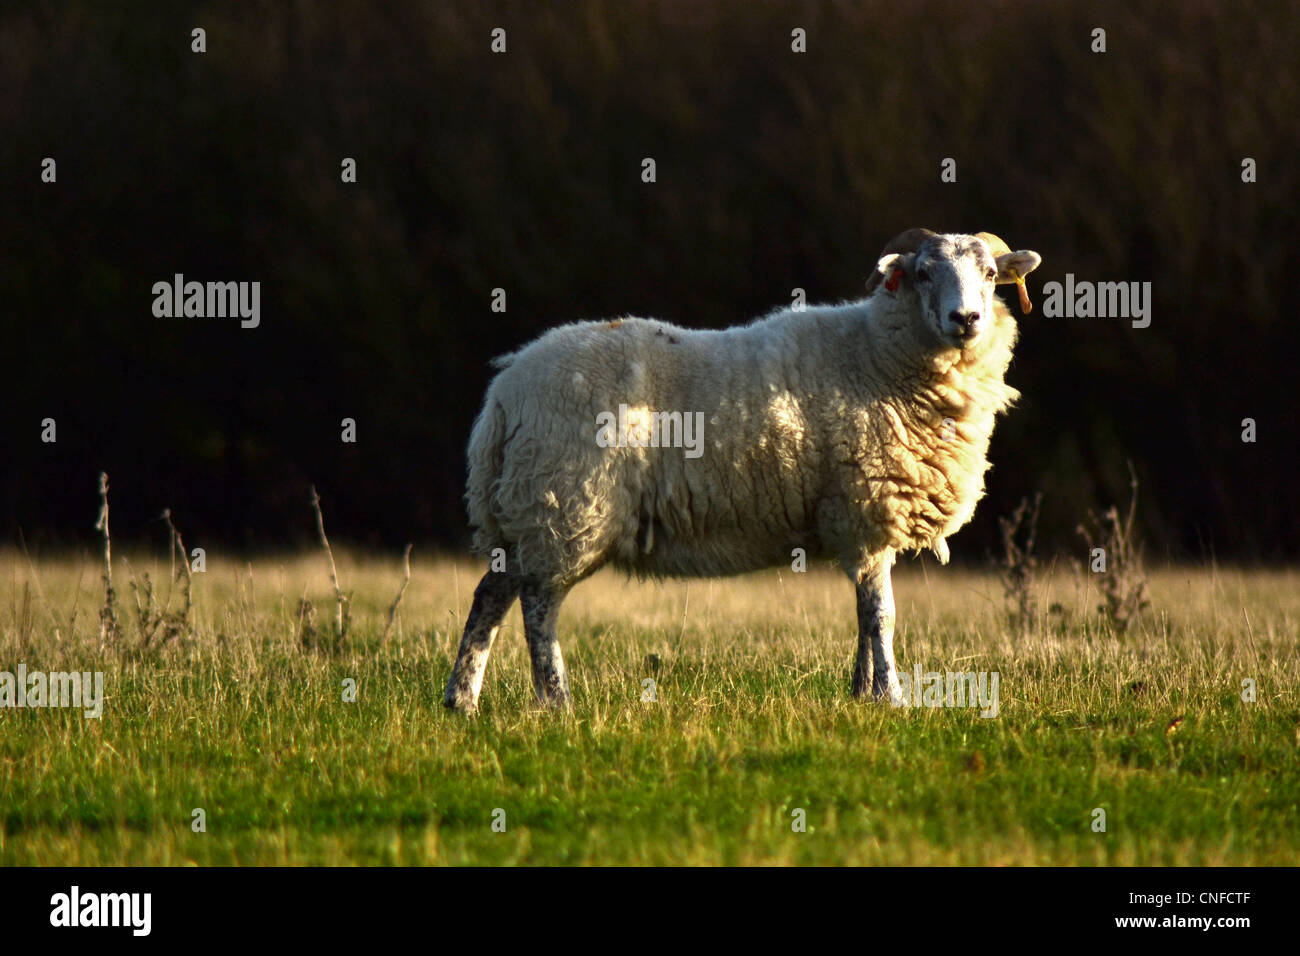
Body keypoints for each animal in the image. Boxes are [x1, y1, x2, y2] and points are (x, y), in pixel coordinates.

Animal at [443, 230, 1042, 712]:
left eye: (991, 275)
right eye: (922, 274)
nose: (966, 320)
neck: (876, 354)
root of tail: (505, 392)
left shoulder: (857, 521)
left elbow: (863, 614)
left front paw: (861, 693)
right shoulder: (866, 509)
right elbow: (882, 615)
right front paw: (892, 697)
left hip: (522, 511)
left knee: (490, 596)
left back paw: (461, 700)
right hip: (564, 507)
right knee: (538, 608)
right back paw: (556, 701)